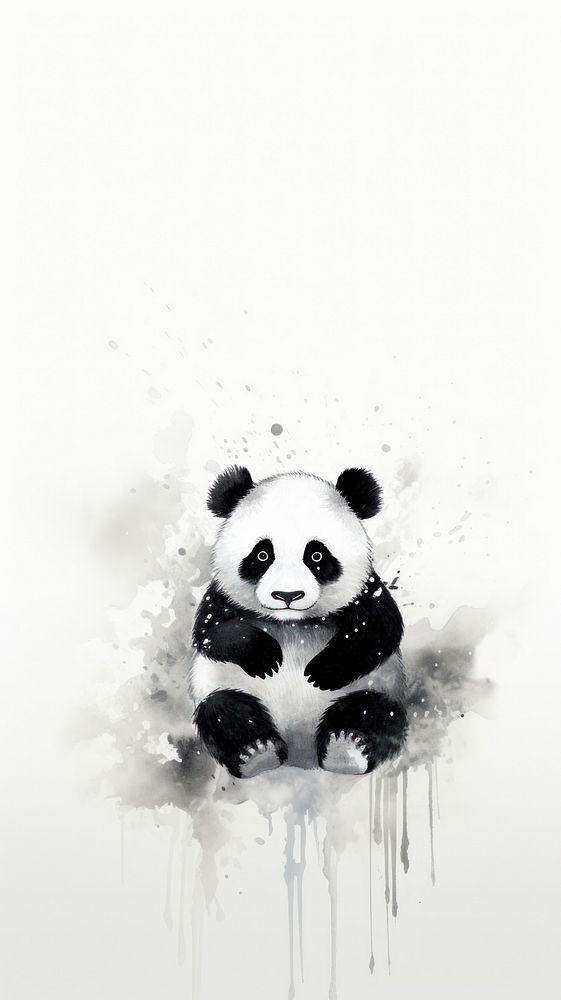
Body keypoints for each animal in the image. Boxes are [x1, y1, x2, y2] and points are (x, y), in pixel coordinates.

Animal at [189, 466, 407, 779]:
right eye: (262, 554)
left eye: (316, 555)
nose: (288, 595)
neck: (293, 623)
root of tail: (300, 753)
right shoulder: (220, 596)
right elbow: (210, 633)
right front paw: (264, 655)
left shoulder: (366, 592)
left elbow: (380, 629)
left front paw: (323, 670)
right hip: (226, 688)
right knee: (223, 711)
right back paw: (257, 753)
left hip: (380, 687)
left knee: (374, 711)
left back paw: (346, 748)